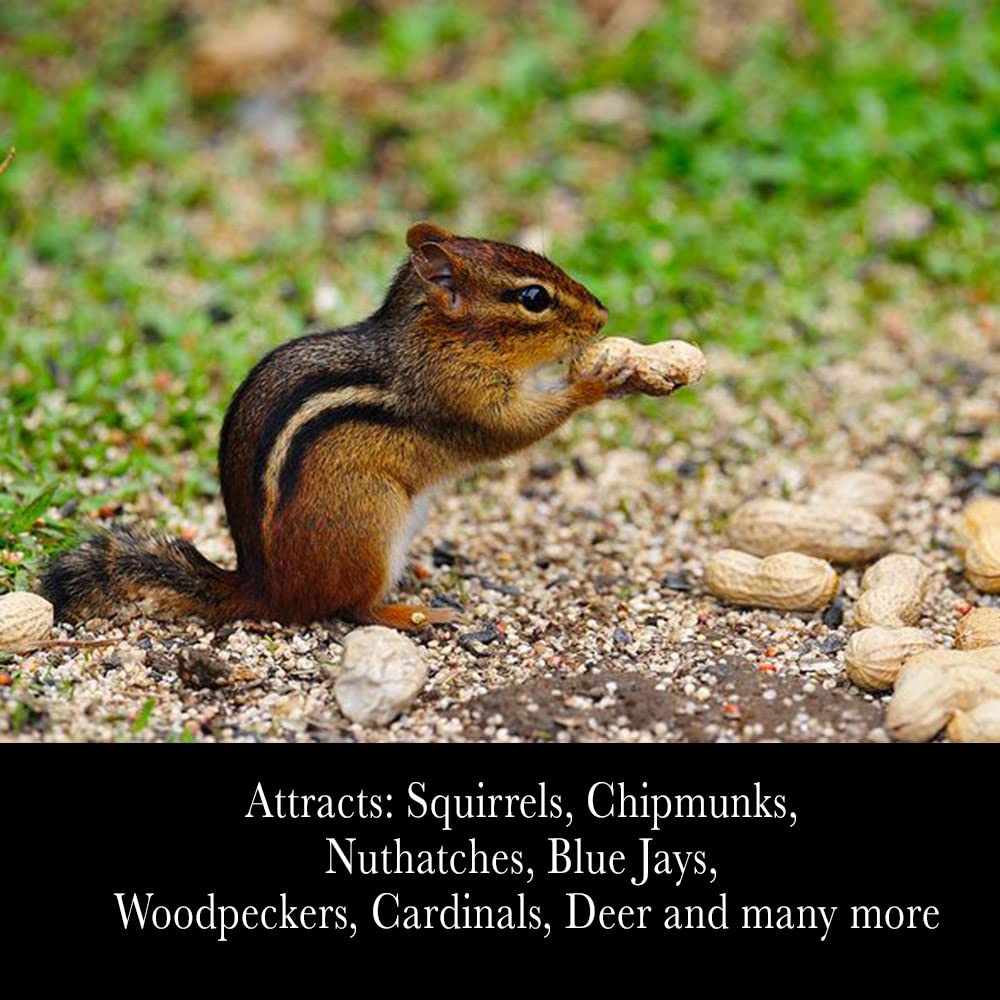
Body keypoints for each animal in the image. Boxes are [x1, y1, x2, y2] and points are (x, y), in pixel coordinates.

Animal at [40, 221, 633, 631]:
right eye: (534, 298)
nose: (603, 315)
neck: (437, 339)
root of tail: (263, 590)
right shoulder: (461, 397)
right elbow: (514, 429)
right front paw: (598, 381)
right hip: (370, 518)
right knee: (354, 610)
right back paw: (415, 614)